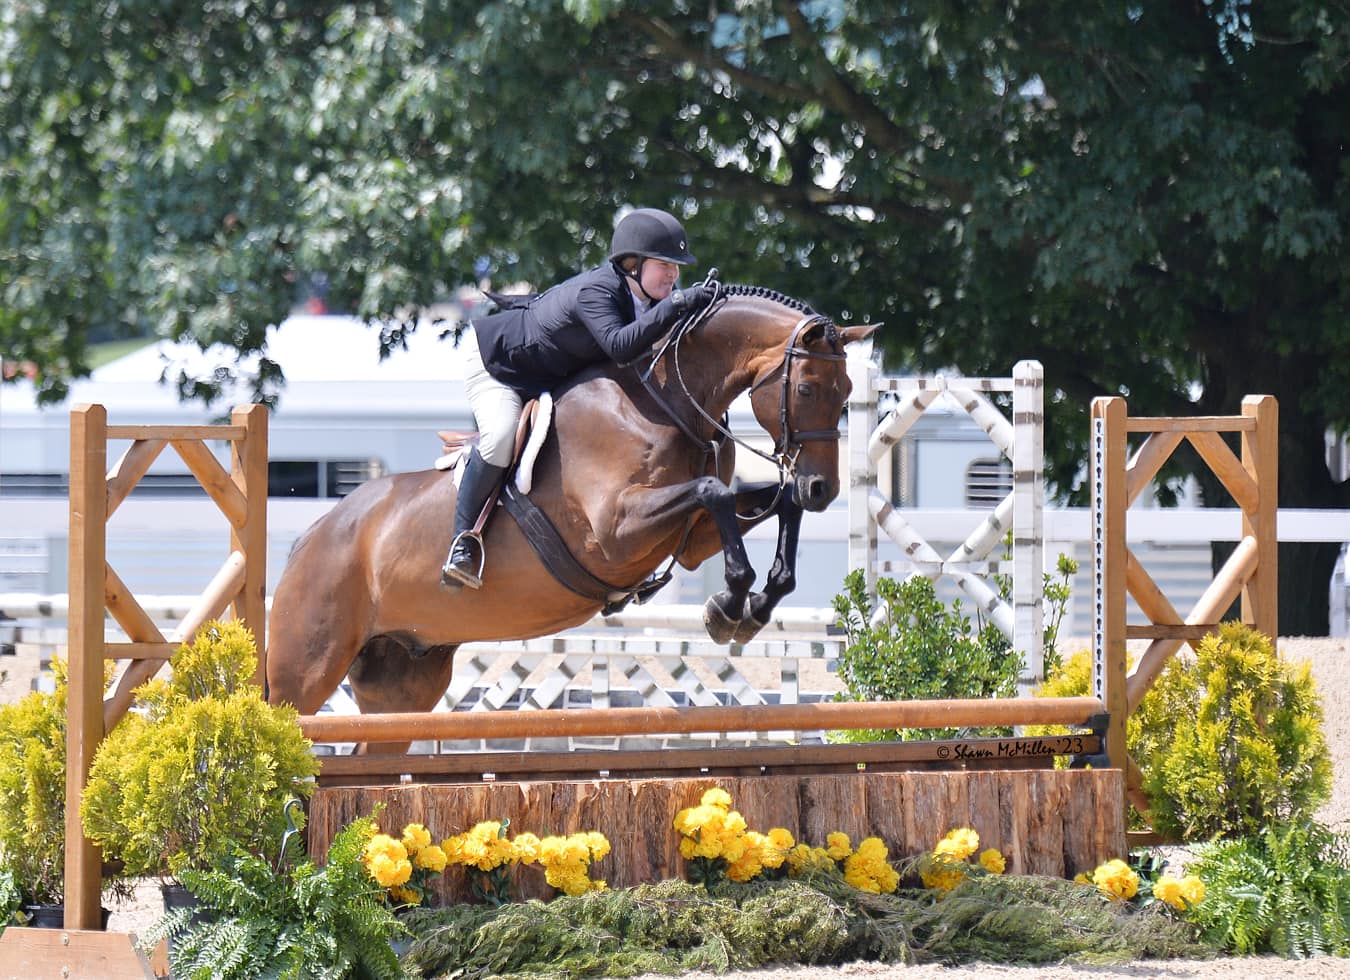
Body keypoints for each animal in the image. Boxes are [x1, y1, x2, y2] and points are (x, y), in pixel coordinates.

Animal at [264, 285, 877, 735]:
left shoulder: (690, 537)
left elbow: (765, 504)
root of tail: (309, 538)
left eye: (848, 392)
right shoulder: (616, 532)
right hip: (305, 672)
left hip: (402, 684)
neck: (664, 402)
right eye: (805, 388)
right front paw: (730, 604)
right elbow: (714, 491)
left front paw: (754, 604)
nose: (823, 487)